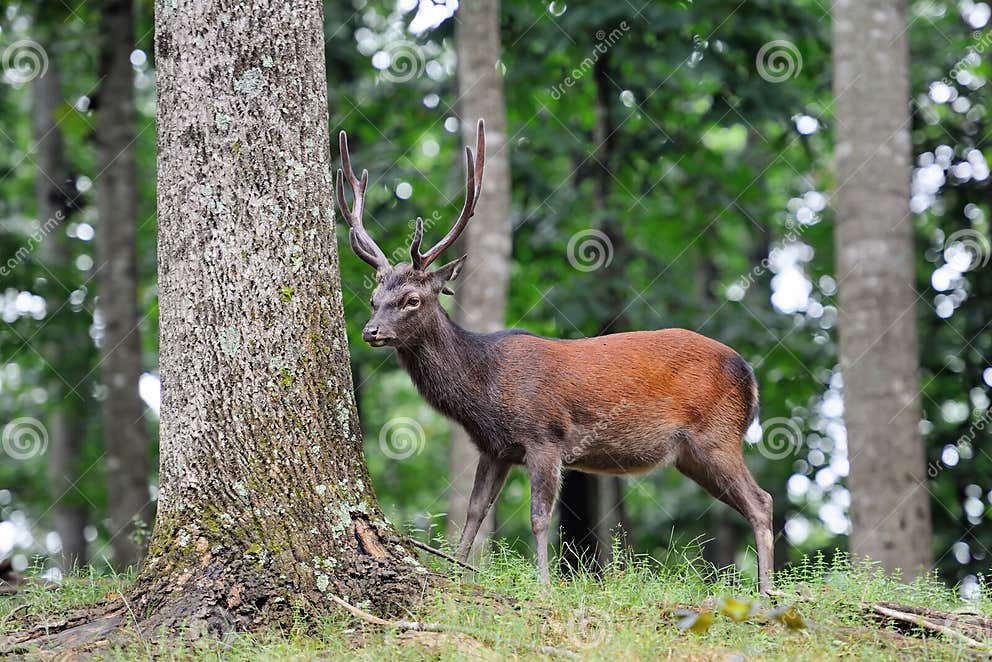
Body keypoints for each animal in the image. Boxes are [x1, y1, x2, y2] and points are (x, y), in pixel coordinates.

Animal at [335, 120, 775, 593]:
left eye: (412, 300)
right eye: (374, 299)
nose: (371, 331)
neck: (484, 386)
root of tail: (749, 373)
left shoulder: (545, 436)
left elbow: (539, 517)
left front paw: (544, 584)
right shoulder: (496, 448)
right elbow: (474, 512)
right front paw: (455, 570)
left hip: (716, 434)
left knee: (762, 500)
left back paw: (769, 589)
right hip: (692, 454)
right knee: (753, 501)